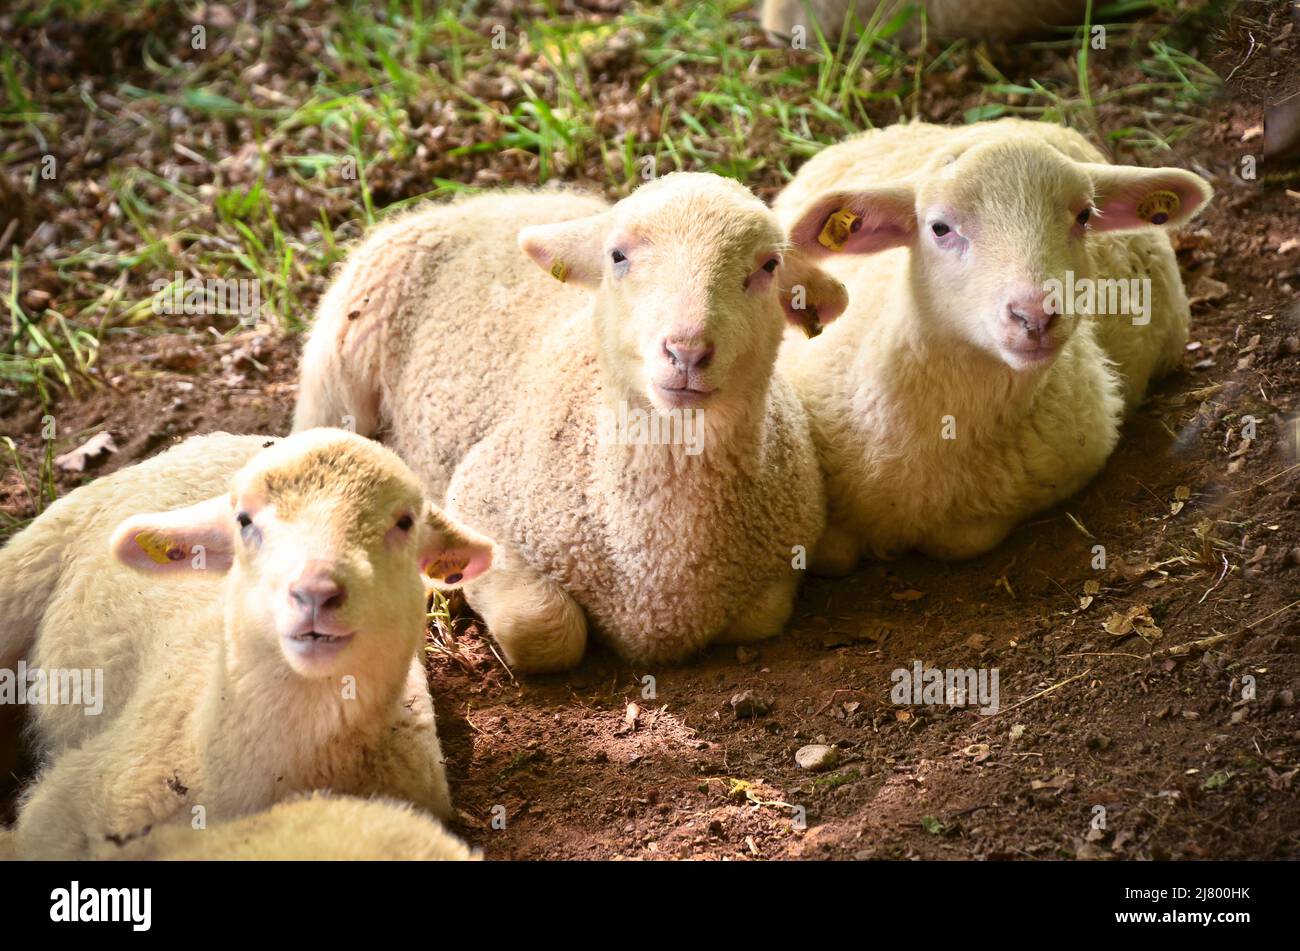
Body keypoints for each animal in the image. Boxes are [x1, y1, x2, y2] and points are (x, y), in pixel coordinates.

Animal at [294, 172, 850, 671]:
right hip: (335, 372)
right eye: (618, 256)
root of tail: (482, 200)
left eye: (769, 265)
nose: (687, 352)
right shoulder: (482, 498)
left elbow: (761, 615)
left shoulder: (779, 566)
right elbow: (544, 629)